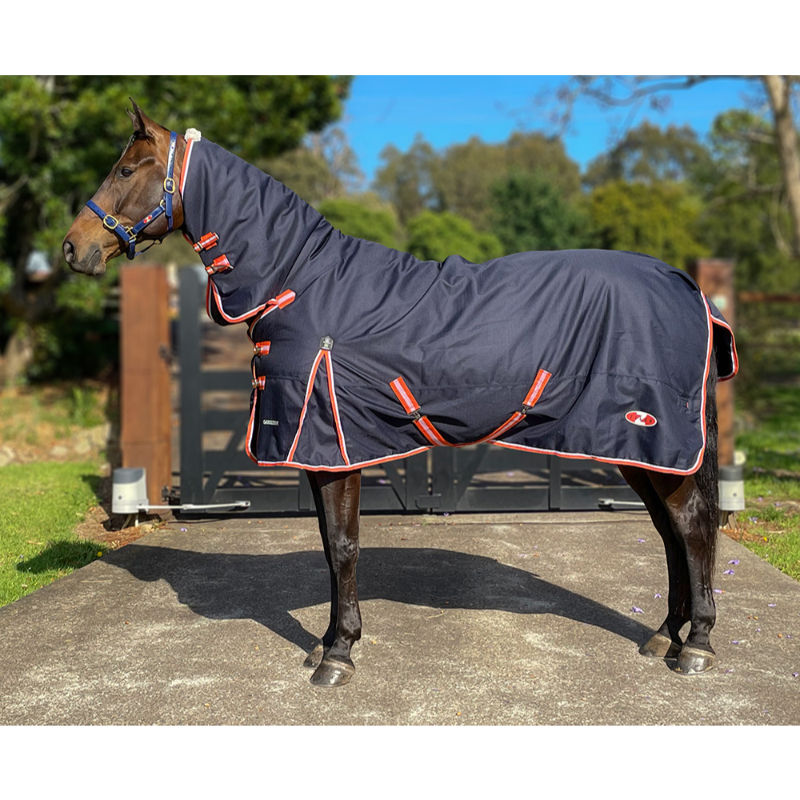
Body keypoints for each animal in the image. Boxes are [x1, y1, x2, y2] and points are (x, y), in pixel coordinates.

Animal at [63, 102, 737, 687]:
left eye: (127, 169)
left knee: (693, 526)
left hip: (657, 443)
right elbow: (329, 546)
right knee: (670, 533)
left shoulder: (334, 449)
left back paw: (696, 645)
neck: (298, 280)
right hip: (641, 453)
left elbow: (342, 547)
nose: (74, 247)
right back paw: (665, 634)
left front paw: (339, 653)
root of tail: (689, 289)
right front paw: (327, 643)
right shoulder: (320, 454)